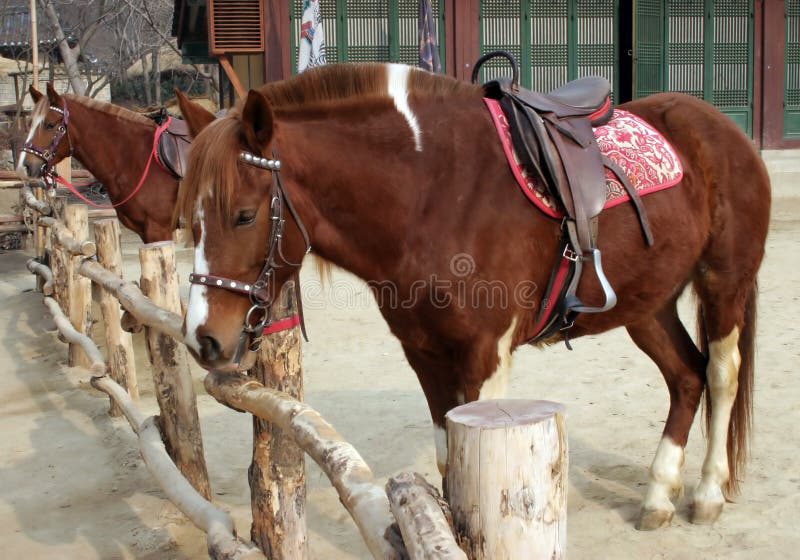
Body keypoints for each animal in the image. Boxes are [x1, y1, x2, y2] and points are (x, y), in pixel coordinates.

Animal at [174, 63, 770, 531]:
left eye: (244, 215)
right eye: (190, 219)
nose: (204, 339)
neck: (431, 193)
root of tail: (719, 126)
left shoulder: (486, 356)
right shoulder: (425, 355)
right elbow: (448, 464)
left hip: (723, 283)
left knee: (721, 374)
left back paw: (707, 493)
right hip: (647, 303)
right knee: (687, 377)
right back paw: (658, 496)